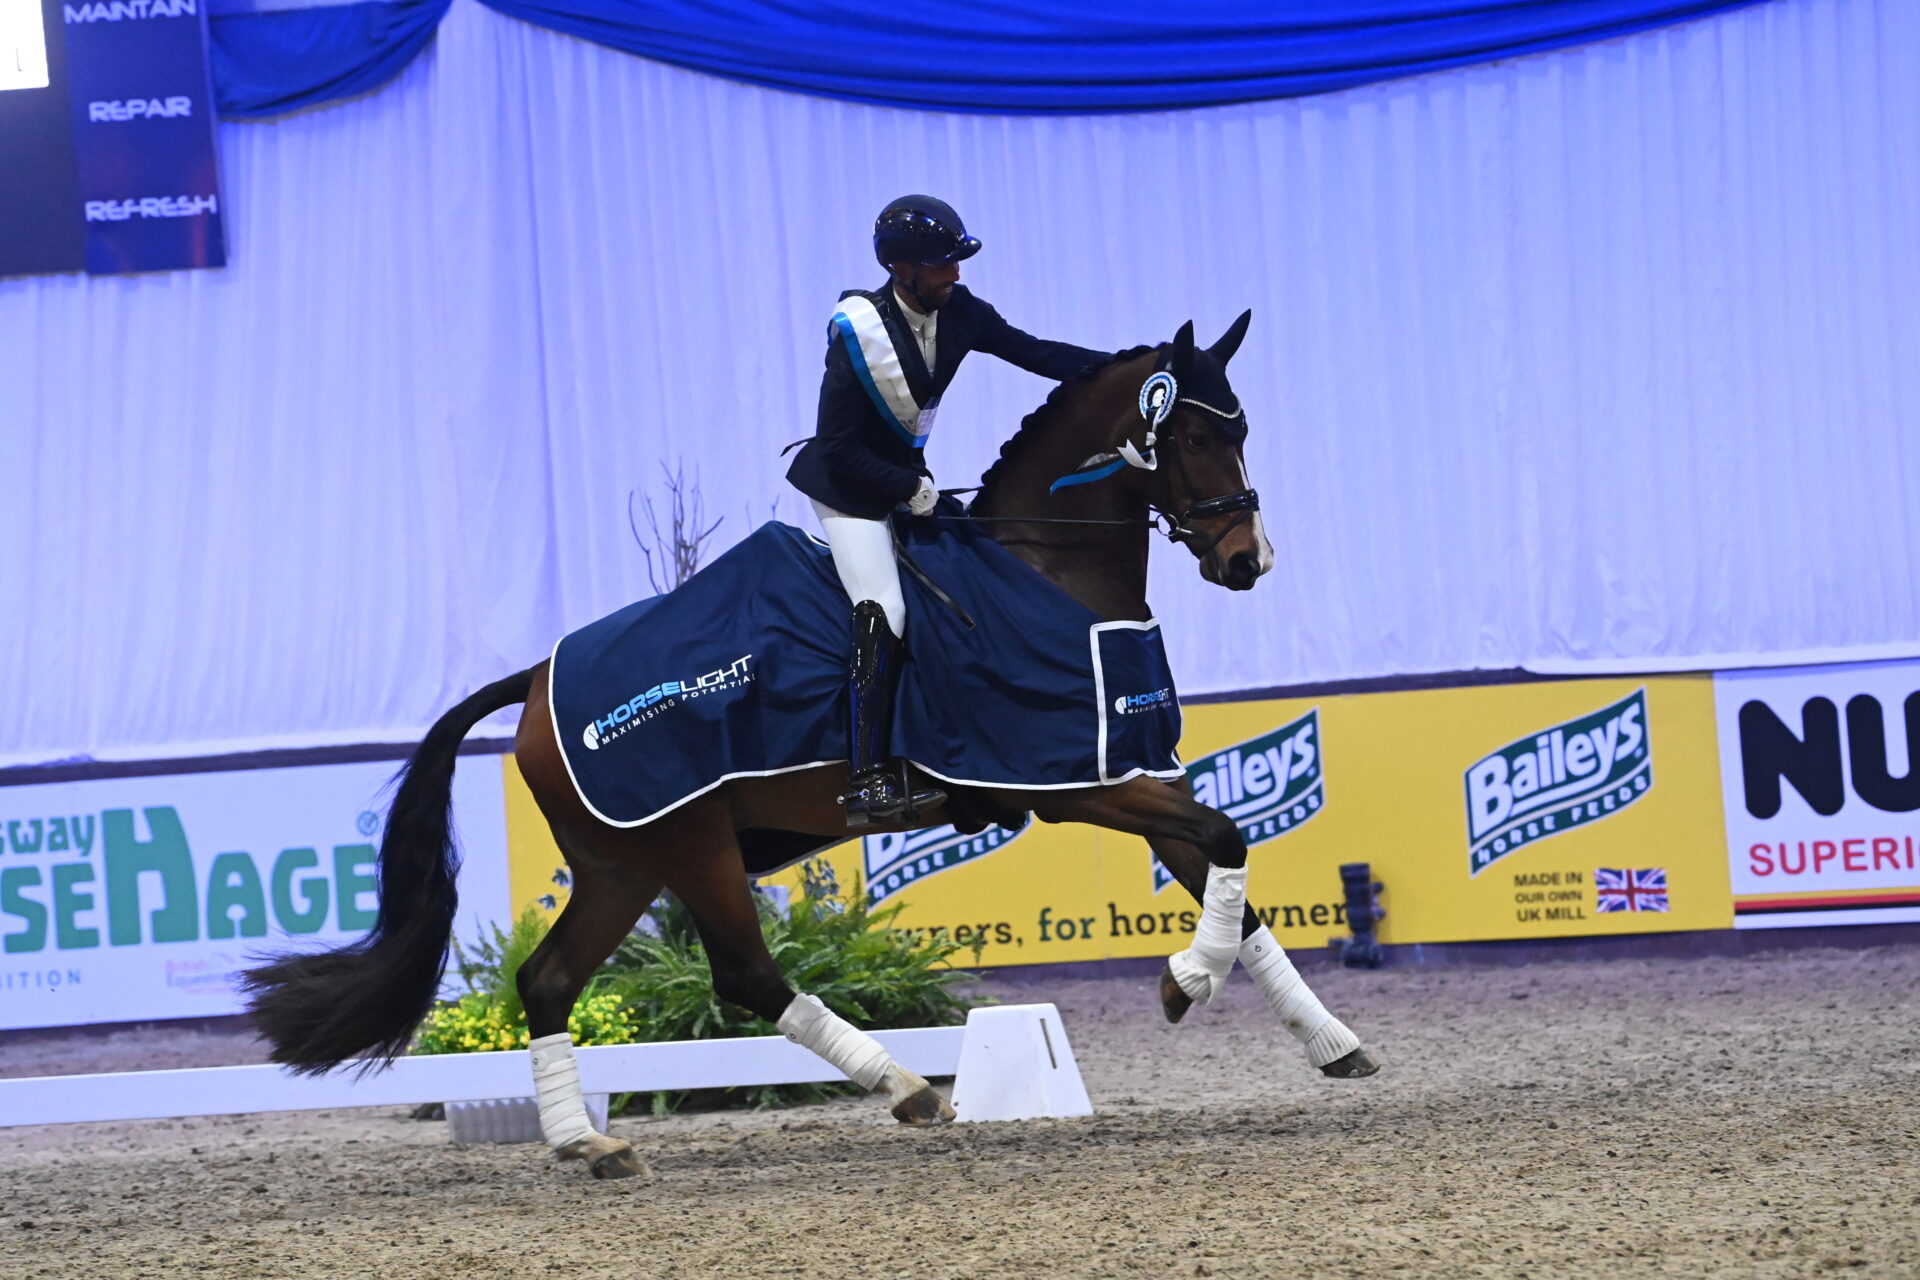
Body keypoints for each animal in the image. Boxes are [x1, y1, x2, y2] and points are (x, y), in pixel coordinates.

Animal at [244, 313, 1378, 1180]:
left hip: (621, 861)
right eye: (1189, 436)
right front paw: (1183, 985)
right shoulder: (1071, 781)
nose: (1247, 560)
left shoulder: (1125, 766)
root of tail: (531, 682)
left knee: (550, 982)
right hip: (689, 842)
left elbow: (1233, 877)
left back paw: (587, 1145)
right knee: (744, 974)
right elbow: (1227, 837)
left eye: (1242, 429)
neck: (1047, 571)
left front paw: (1333, 1042)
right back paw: (908, 1088)